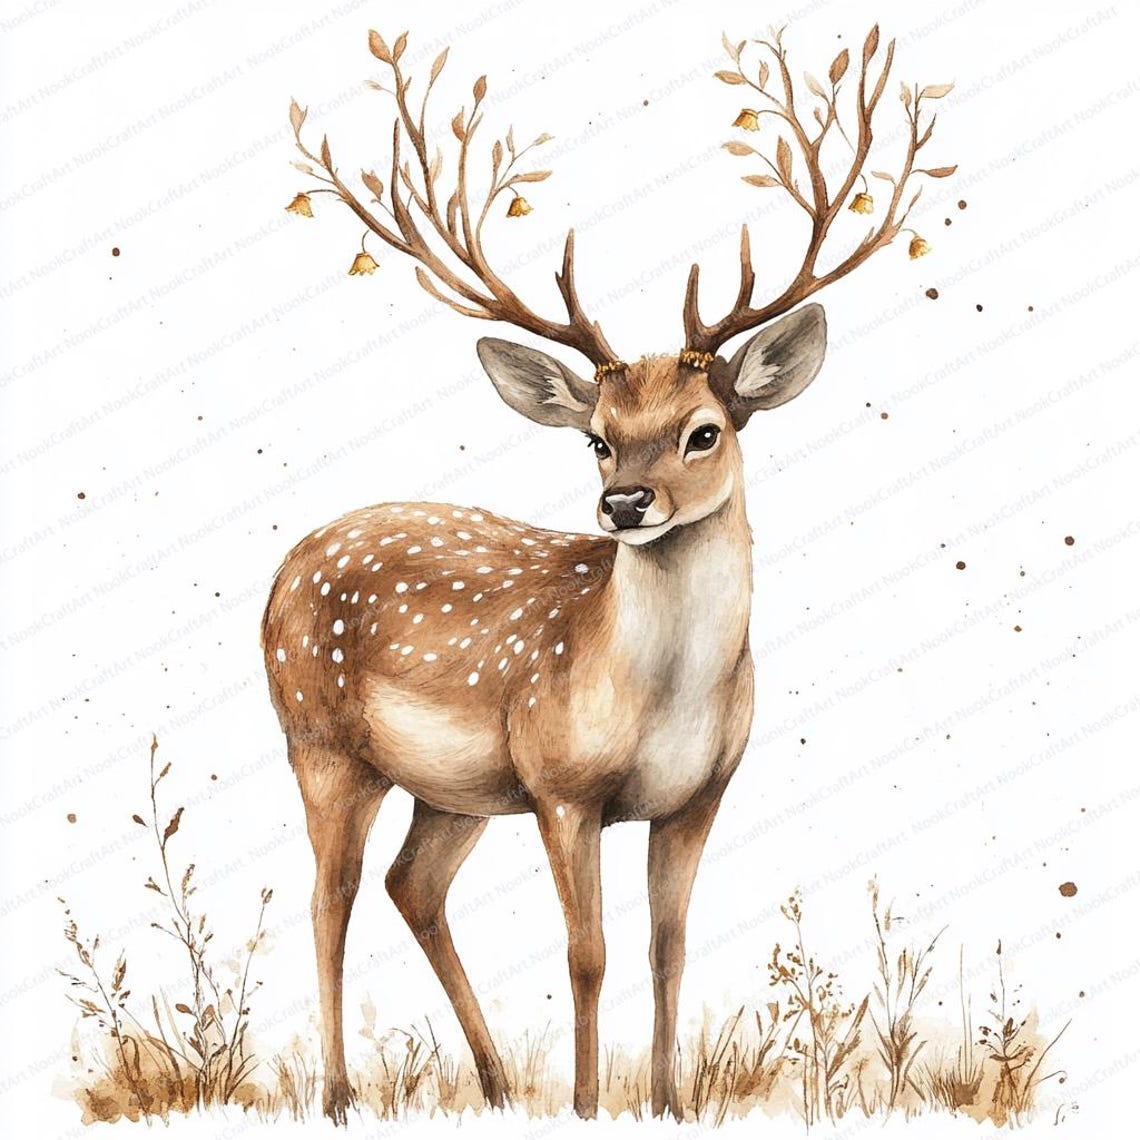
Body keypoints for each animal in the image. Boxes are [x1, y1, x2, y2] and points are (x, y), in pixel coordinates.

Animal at [264, 25, 955, 1123]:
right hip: (322, 738)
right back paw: (338, 1094)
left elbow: (667, 946)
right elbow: (585, 954)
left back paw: (496, 1081)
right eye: (596, 437)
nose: (624, 505)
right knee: (331, 898)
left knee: (412, 887)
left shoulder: (698, 795)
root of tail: (285, 565)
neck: (652, 697)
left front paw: (669, 1102)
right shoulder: (562, 785)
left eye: (704, 429)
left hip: (454, 790)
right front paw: (590, 1104)